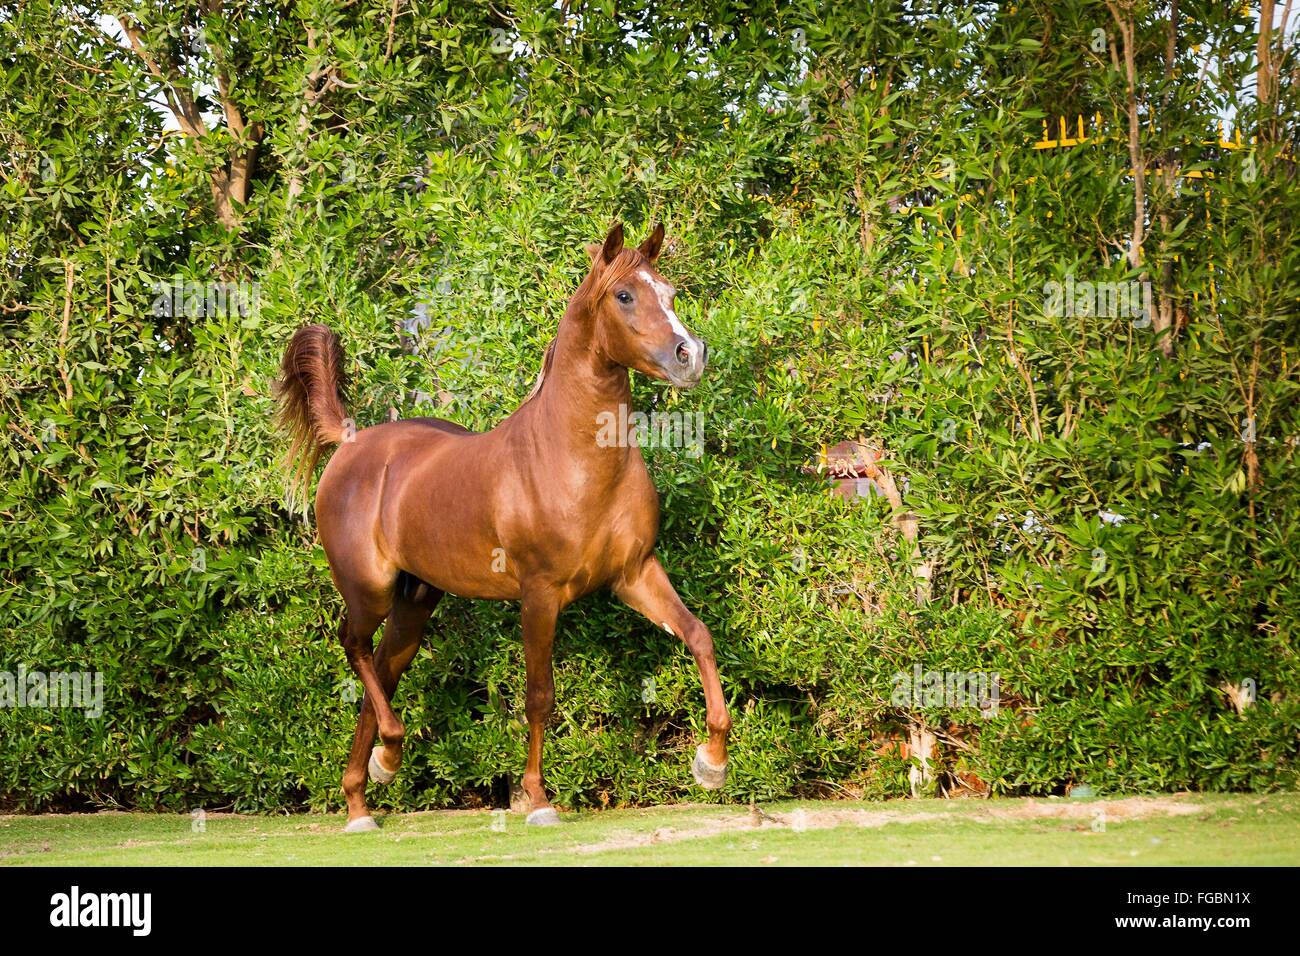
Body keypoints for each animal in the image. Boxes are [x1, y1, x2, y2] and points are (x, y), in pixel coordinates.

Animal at [273, 223, 732, 831]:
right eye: (625, 295)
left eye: (671, 293)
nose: (690, 356)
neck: (573, 458)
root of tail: (349, 442)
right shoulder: (539, 594)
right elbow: (539, 696)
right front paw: (538, 802)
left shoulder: (635, 574)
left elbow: (699, 636)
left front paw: (711, 764)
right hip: (367, 589)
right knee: (354, 646)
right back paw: (386, 760)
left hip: (415, 602)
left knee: (382, 671)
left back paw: (364, 794)